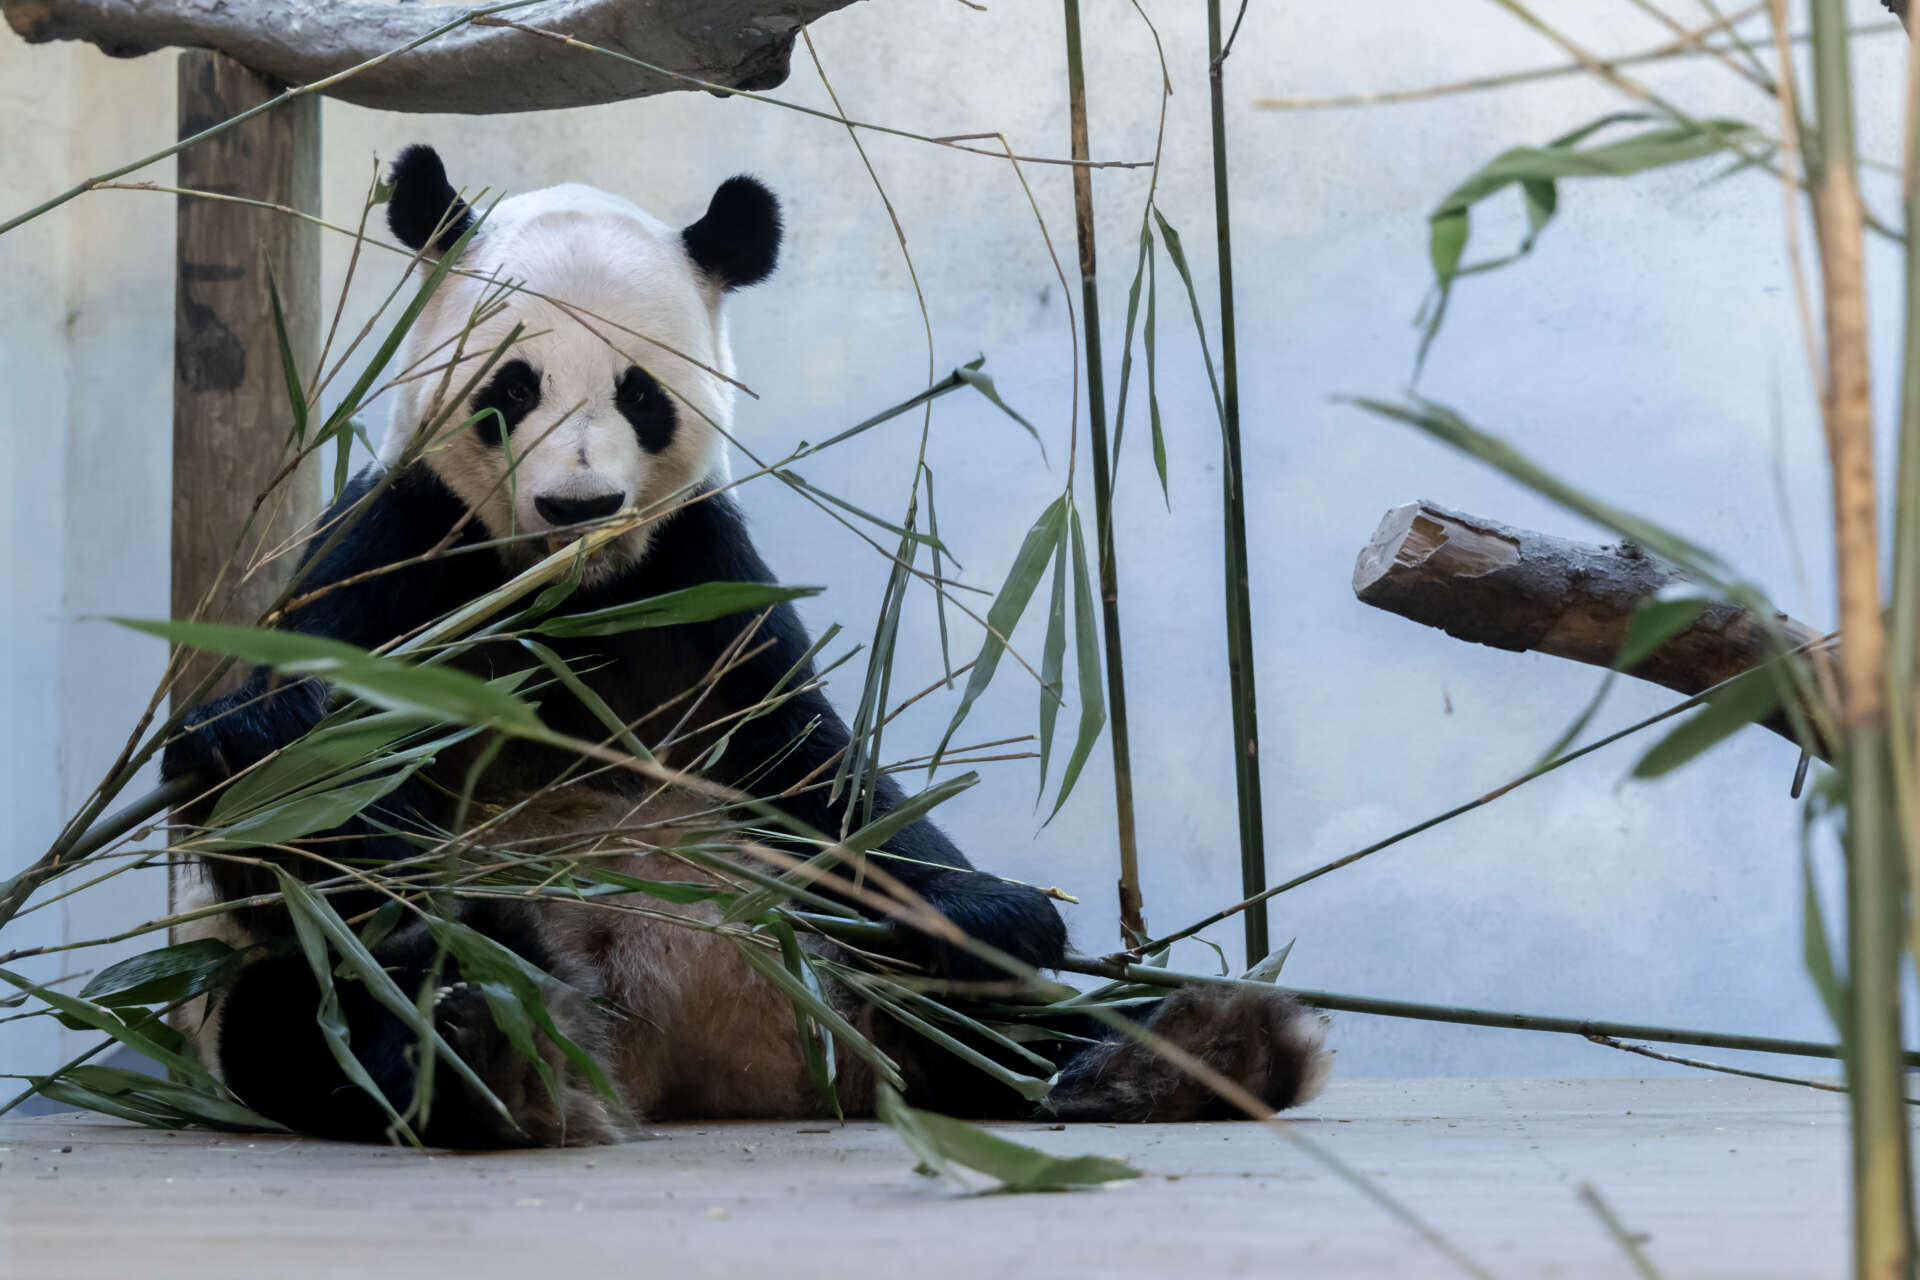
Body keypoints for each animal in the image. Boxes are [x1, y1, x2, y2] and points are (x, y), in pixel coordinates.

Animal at [161, 144, 1332, 1146]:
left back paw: (1184, 1056)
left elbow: (815, 771)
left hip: (851, 969)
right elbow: (287, 798)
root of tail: (684, 1057)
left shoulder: (700, 578)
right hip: (274, 997)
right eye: (512, 389)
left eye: (638, 393)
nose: (578, 507)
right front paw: (265, 743)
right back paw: (486, 1041)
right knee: (323, 1007)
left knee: (994, 1025)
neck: (568, 603)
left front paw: (994, 912)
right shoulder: (400, 546)